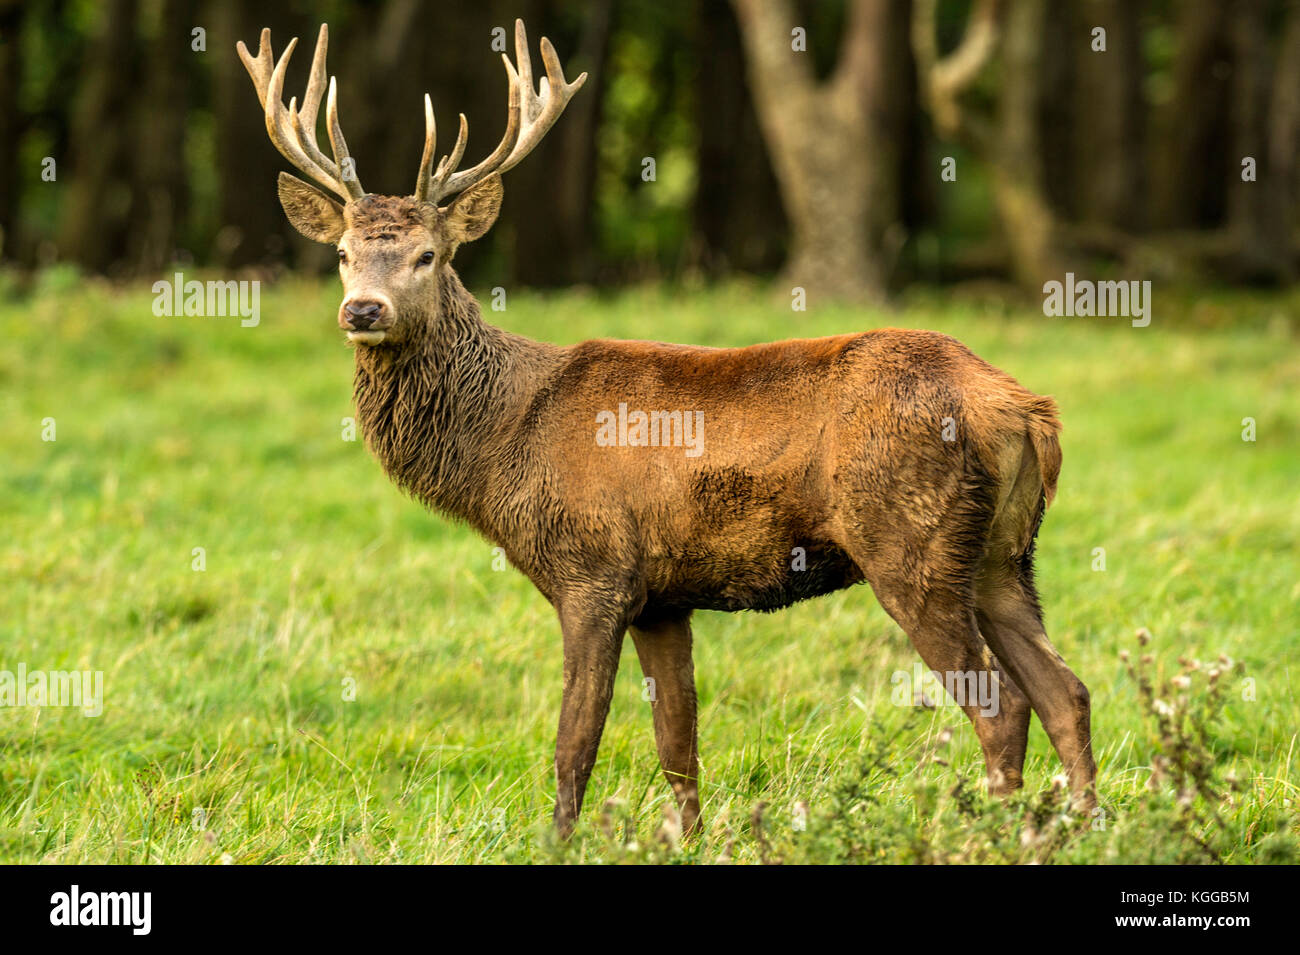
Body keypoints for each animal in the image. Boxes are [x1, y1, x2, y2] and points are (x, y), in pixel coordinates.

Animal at [237, 20, 1096, 838]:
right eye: (342, 252)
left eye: (428, 254)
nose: (363, 310)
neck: (505, 440)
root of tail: (1026, 409)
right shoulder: (664, 596)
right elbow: (678, 742)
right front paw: (686, 835)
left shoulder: (593, 568)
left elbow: (576, 738)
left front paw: (561, 837)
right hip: (1003, 555)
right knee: (1067, 691)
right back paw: (1079, 825)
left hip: (910, 541)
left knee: (1003, 704)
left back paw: (992, 829)